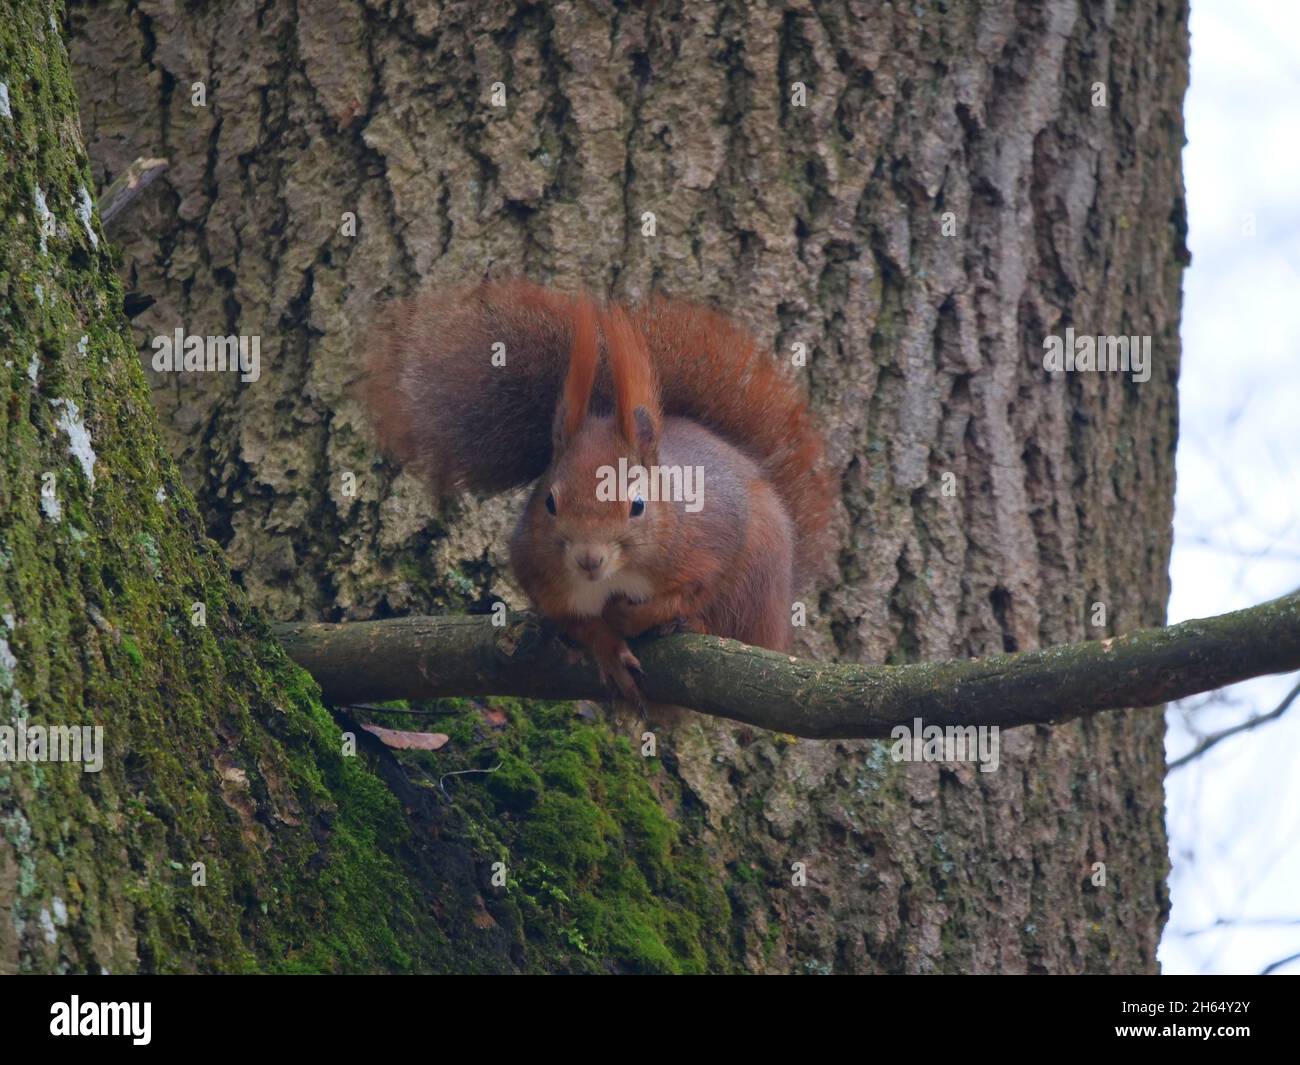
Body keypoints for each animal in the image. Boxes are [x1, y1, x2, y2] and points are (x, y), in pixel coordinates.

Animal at [363, 279, 835, 709]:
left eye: (638, 505)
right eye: (549, 502)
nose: (589, 560)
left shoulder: (711, 546)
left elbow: (689, 592)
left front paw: (637, 615)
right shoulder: (546, 586)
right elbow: (577, 625)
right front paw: (608, 646)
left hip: (758, 575)